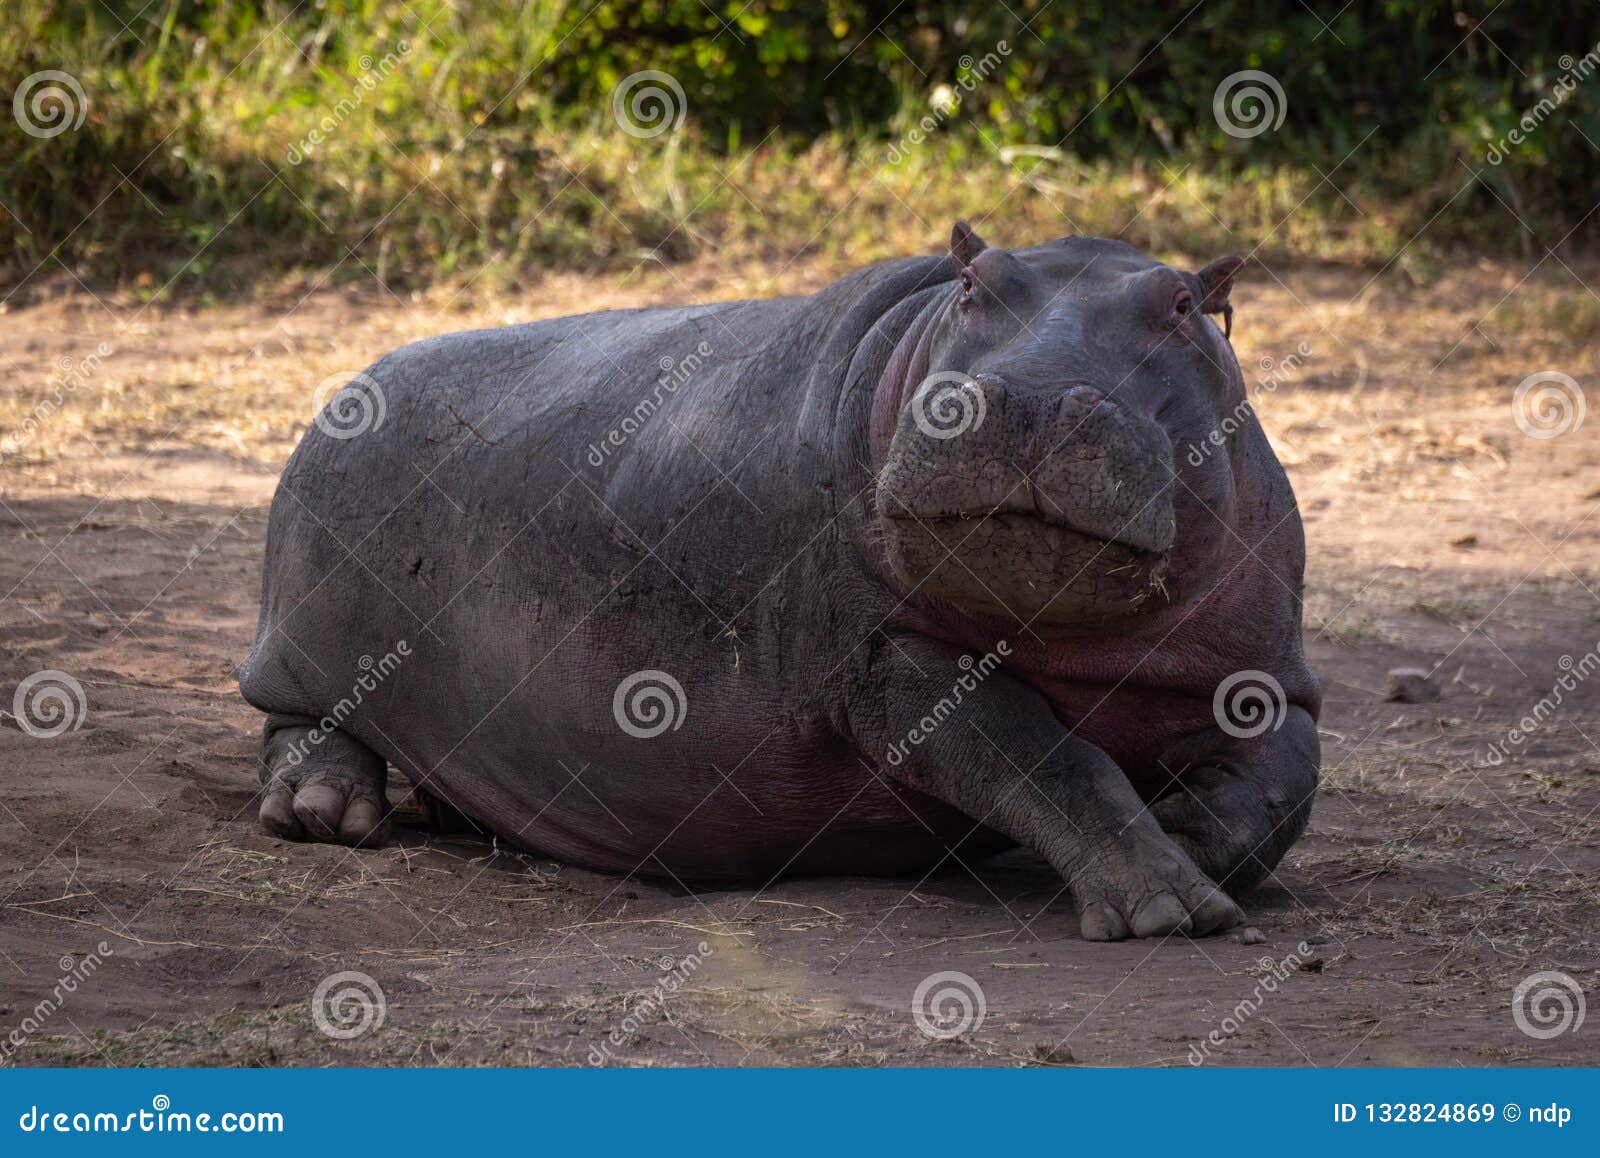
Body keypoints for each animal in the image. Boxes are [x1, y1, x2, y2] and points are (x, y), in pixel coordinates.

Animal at [240, 224, 1319, 940]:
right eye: (974, 283)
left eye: (1189, 307)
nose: (1033, 399)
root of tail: (354, 380)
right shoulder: (884, 657)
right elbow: (1043, 755)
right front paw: (1172, 909)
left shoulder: (1266, 673)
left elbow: (1285, 778)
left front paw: (1189, 830)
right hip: (303, 640)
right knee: (299, 722)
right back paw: (327, 816)